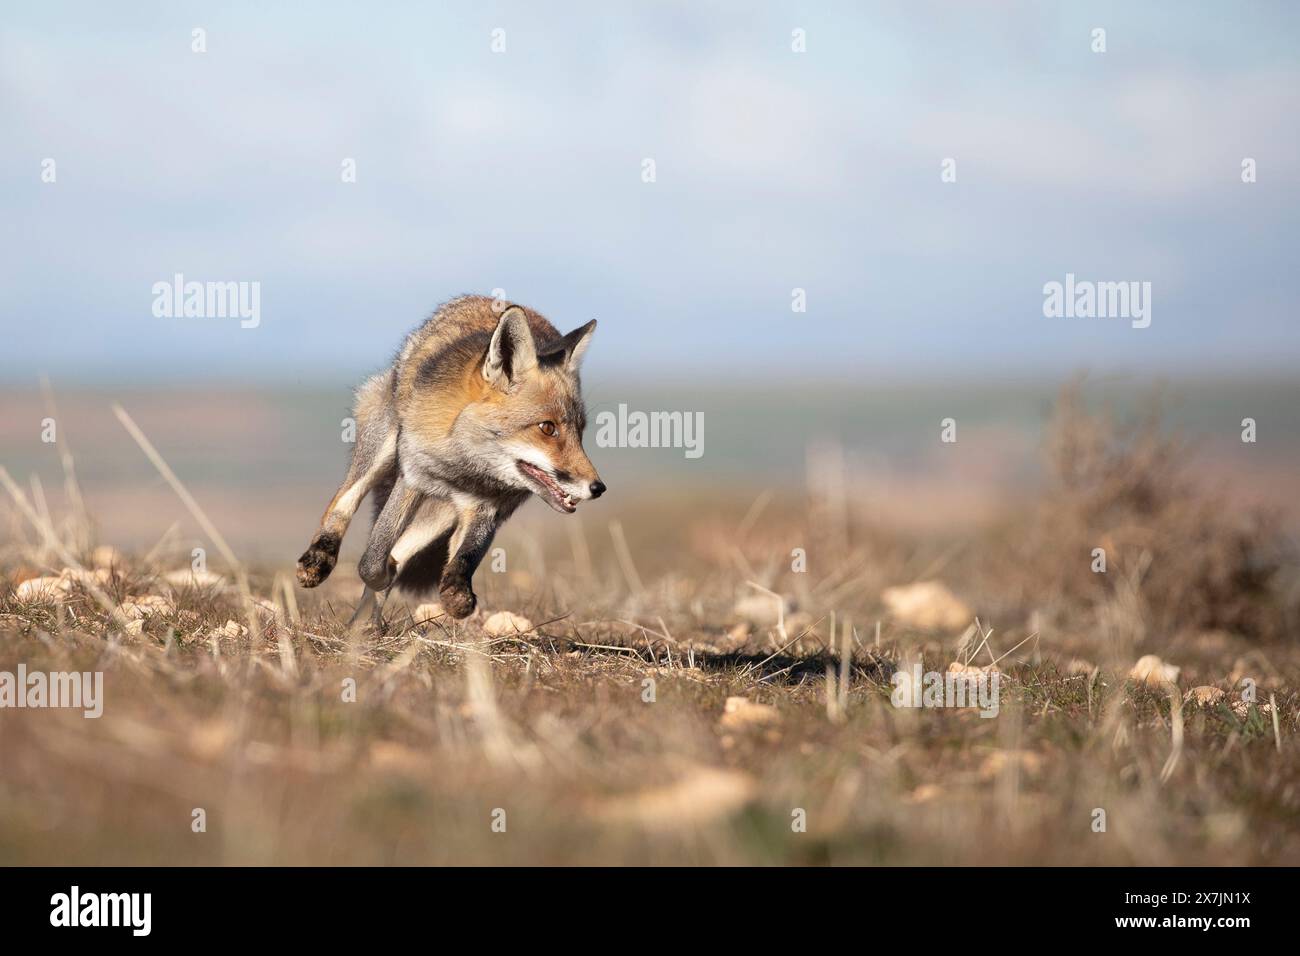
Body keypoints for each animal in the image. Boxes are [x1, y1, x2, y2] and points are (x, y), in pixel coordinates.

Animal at [295, 294, 606, 621]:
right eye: (547, 428)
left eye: (580, 431)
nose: (598, 488)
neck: (464, 468)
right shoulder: (413, 477)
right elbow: (373, 560)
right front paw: (376, 573)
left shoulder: (486, 507)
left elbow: (463, 560)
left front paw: (456, 594)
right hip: (384, 441)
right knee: (343, 501)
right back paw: (320, 559)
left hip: (441, 515)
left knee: (403, 547)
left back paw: (365, 625)